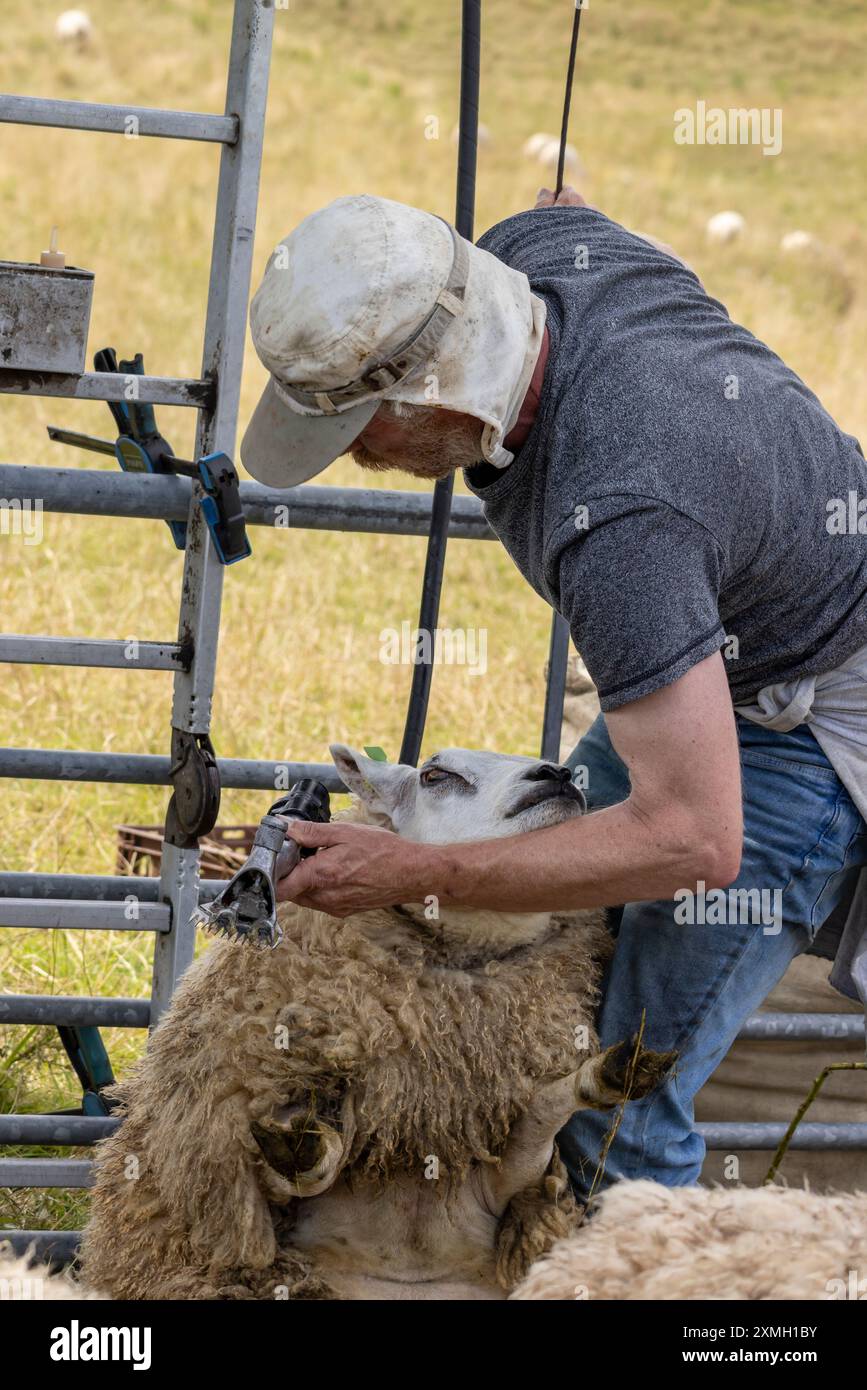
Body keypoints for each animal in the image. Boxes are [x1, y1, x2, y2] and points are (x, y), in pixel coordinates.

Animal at [80, 744, 675, 1301]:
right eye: (436, 774)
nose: (557, 775)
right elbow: (290, 1170)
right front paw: (304, 1146)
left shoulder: (514, 1178)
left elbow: (540, 1122)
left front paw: (610, 1072)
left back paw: (616, 1073)